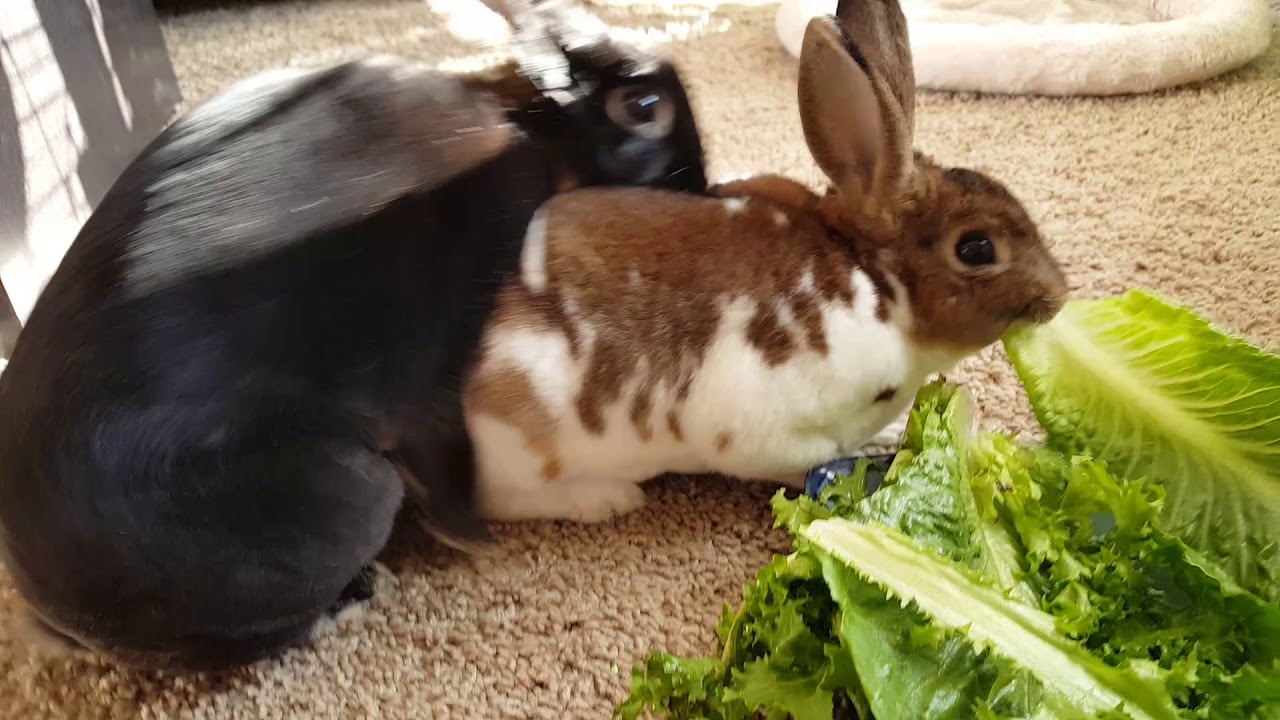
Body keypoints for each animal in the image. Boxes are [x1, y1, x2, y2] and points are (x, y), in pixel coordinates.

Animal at [0, 0, 707, 672]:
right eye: (645, 107)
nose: (702, 190)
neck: (531, 122)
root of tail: (57, 613)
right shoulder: (440, 333)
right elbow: (442, 449)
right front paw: (472, 537)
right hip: (350, 491)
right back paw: (358, 596)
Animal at [460, 0, 1070, 524]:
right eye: (977, 249)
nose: (1059, 296)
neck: (880, 284)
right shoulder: (762, 427)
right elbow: (798, 460)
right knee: (502, 500)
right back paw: (605, 498)